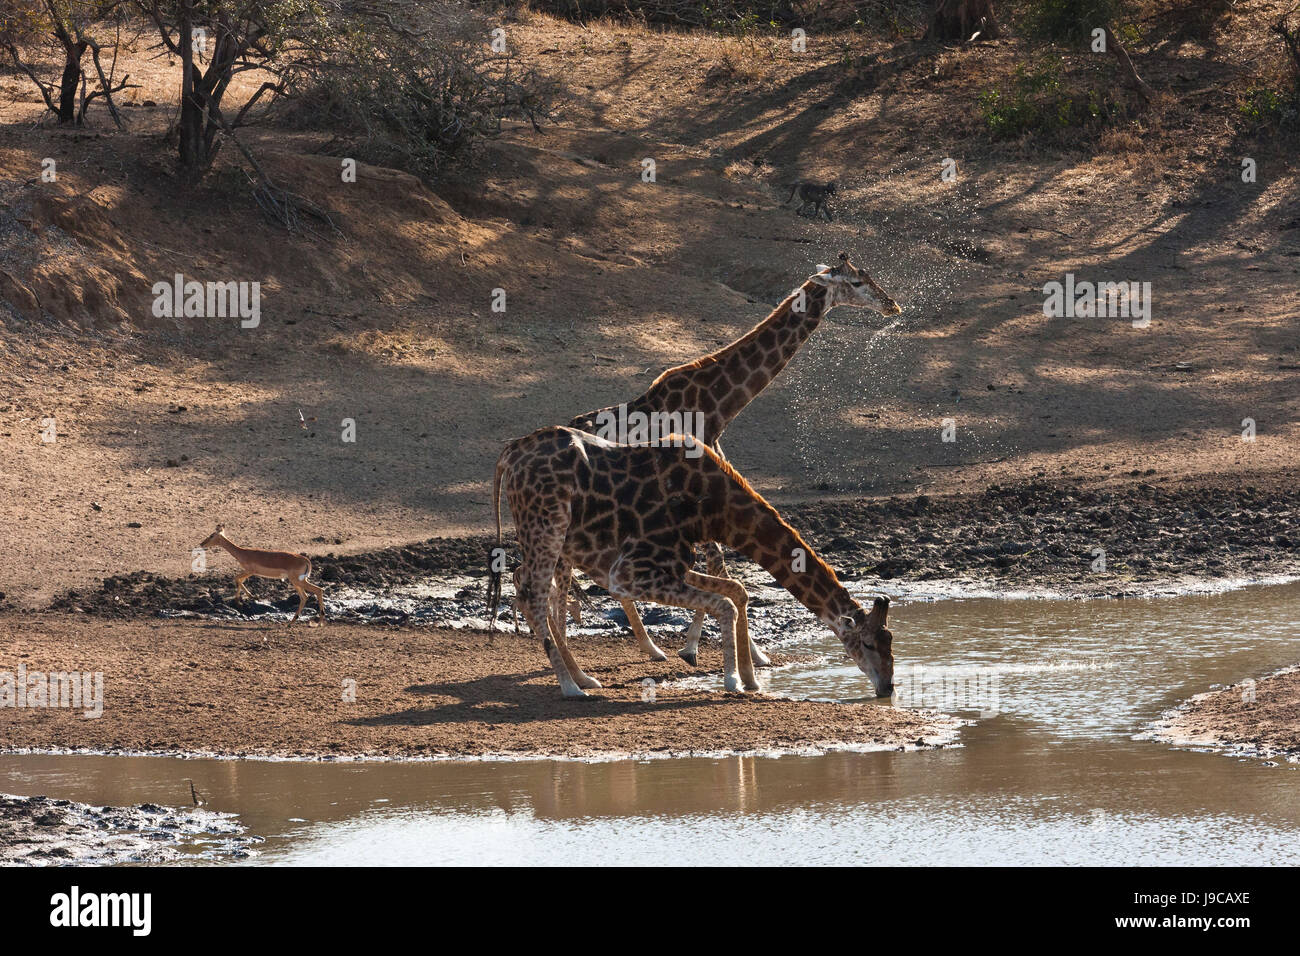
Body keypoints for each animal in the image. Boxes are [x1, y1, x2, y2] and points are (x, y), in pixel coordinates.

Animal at [488, 426, 895, 699]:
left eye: (890, 641)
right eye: (868, 644)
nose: (888, 687)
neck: (716, 508)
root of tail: (508, 455)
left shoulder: (673, 565)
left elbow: (737, 591)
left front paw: (750, 678)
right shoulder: (630, 572)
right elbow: (726, 602)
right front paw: (732, 680)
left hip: (556, 538)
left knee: (530, 589)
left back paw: (583, 677)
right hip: (548, 527)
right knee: (534, 595)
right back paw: (571, 687)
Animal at [558, 252, 901, 668]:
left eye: (867, 274)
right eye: (855, 283)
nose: (892, 305)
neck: (715, 406)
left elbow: (718, 566)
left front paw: (711, 648)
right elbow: (720, 565)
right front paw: (723, 650)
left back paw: (641, 646)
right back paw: (637, 648)